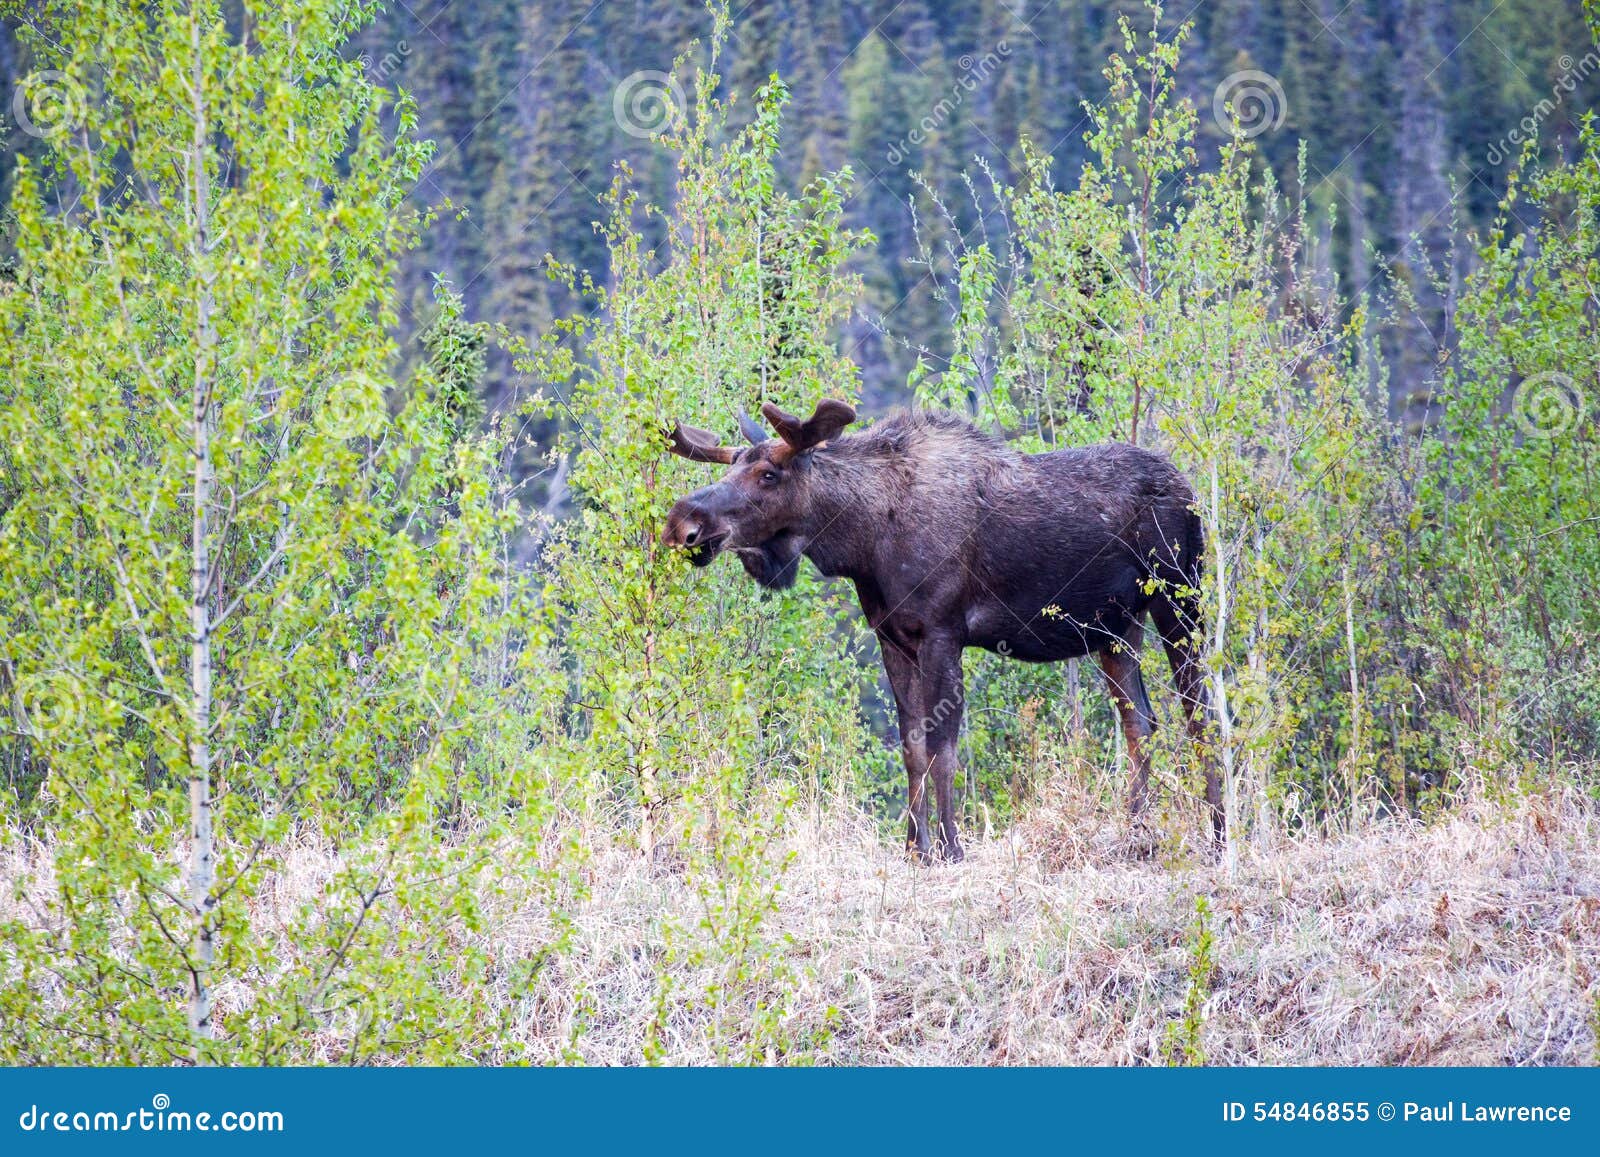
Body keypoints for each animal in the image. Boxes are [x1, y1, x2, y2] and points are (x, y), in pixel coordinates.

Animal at [661, 398, 1220, 862]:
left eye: (769, 474)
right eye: (733, 465)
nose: (683, 523)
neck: (864, 539)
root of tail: (1190, 490)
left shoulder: (943, 633)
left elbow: (942, 749)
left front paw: (951, 847)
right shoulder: (892, 637)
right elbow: (911, 748)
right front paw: (915, 847)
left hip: (1180, 599)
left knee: (1201, 714)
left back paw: (1216, 837)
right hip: (1118, 627)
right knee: (1141, 722)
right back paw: (1135, 833)